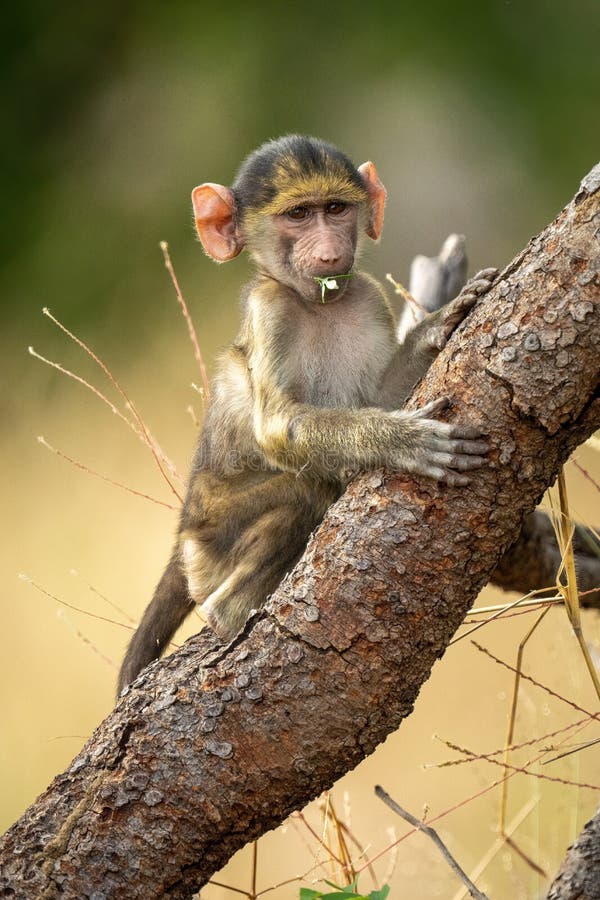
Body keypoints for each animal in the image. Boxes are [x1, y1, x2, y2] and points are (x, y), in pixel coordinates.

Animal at [118, 135, 496, 693]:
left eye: (335, 209)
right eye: (298, 214)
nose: (328, 249)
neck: (319, 305)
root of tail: (184, 536)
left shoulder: (366, 297)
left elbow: (382, 393)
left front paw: (437, 325)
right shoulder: (269, 308)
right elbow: (278, 427)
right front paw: (405, 442)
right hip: (213, 539)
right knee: (305, 490)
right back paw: (227, 614)